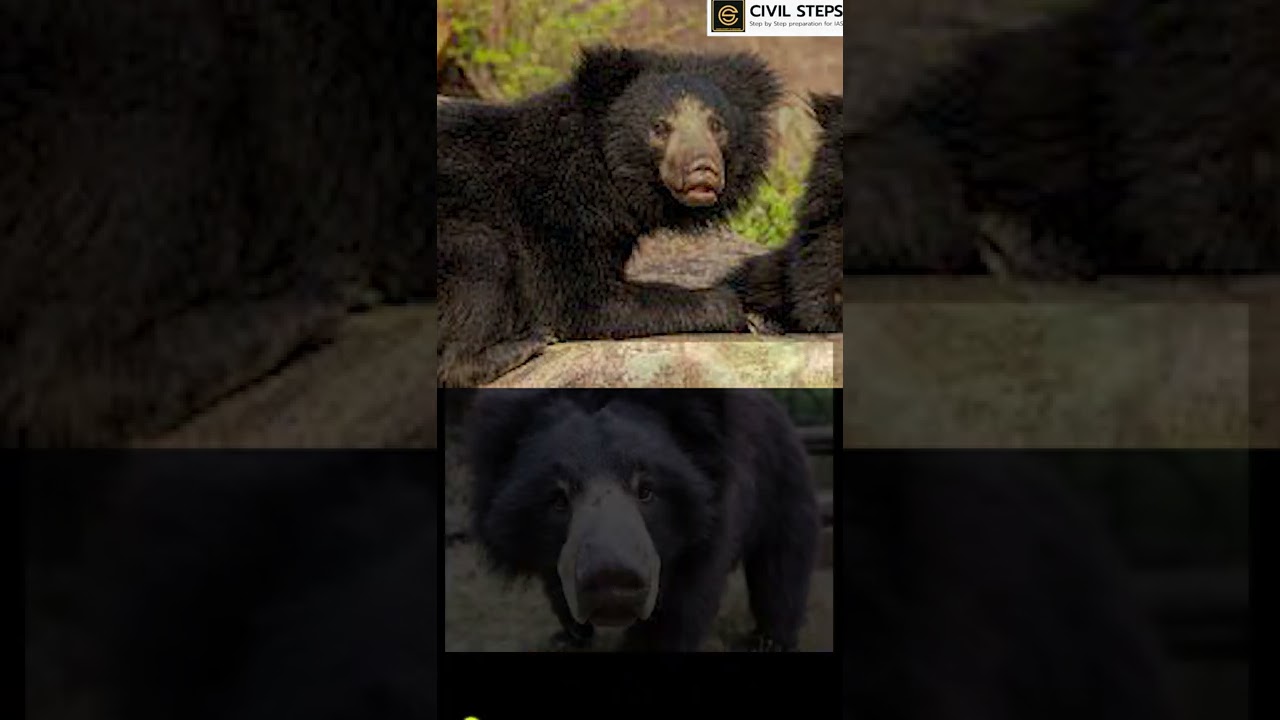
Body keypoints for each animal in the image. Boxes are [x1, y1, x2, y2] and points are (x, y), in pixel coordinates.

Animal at [437, 47, 781, 388]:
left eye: (716, 125)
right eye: (660, 127)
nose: (702, 170)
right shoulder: (562, 212)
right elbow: (587, 303)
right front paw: (743, 310)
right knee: (483, 256)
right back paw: (518, 347)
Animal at [464, 389, 819, 652]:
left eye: (647, 490)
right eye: (558, 499)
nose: (612, 581)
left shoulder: (705, 531)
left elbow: (680, 608)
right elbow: (558, 586)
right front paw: (568, 637)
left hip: (782, 489)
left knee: (780, 568)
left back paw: (768, 641)